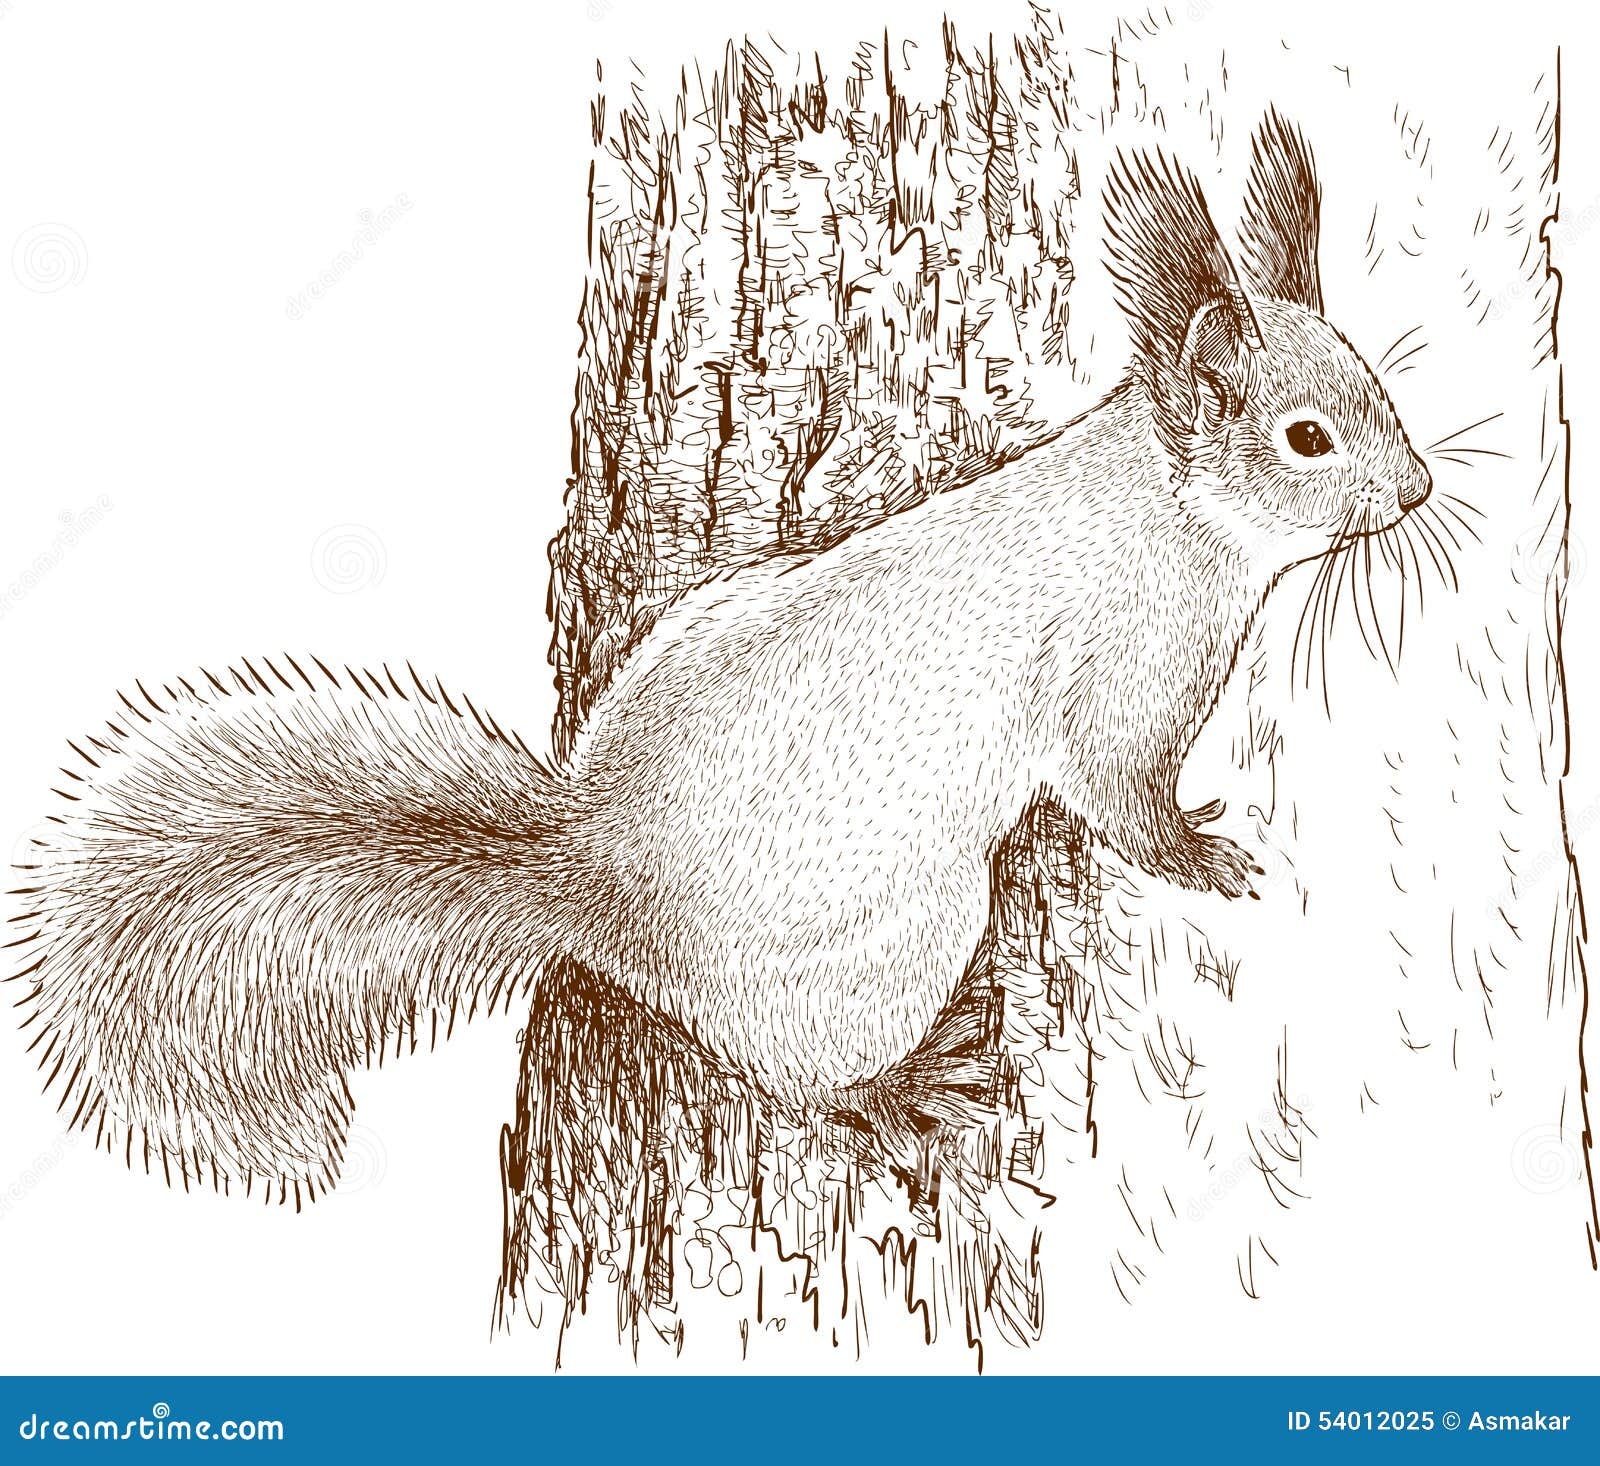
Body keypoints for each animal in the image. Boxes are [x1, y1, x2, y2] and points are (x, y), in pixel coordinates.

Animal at [11, 111, 1431, 1197]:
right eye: (1308, 438)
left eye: (1380, 388)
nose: (1417, 488)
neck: (1164, 505)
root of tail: (598, 880)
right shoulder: (1121, 673)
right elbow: (1122, 797)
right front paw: (1205, 855)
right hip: (900, 939)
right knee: (789, 1075)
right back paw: (903, 1088)